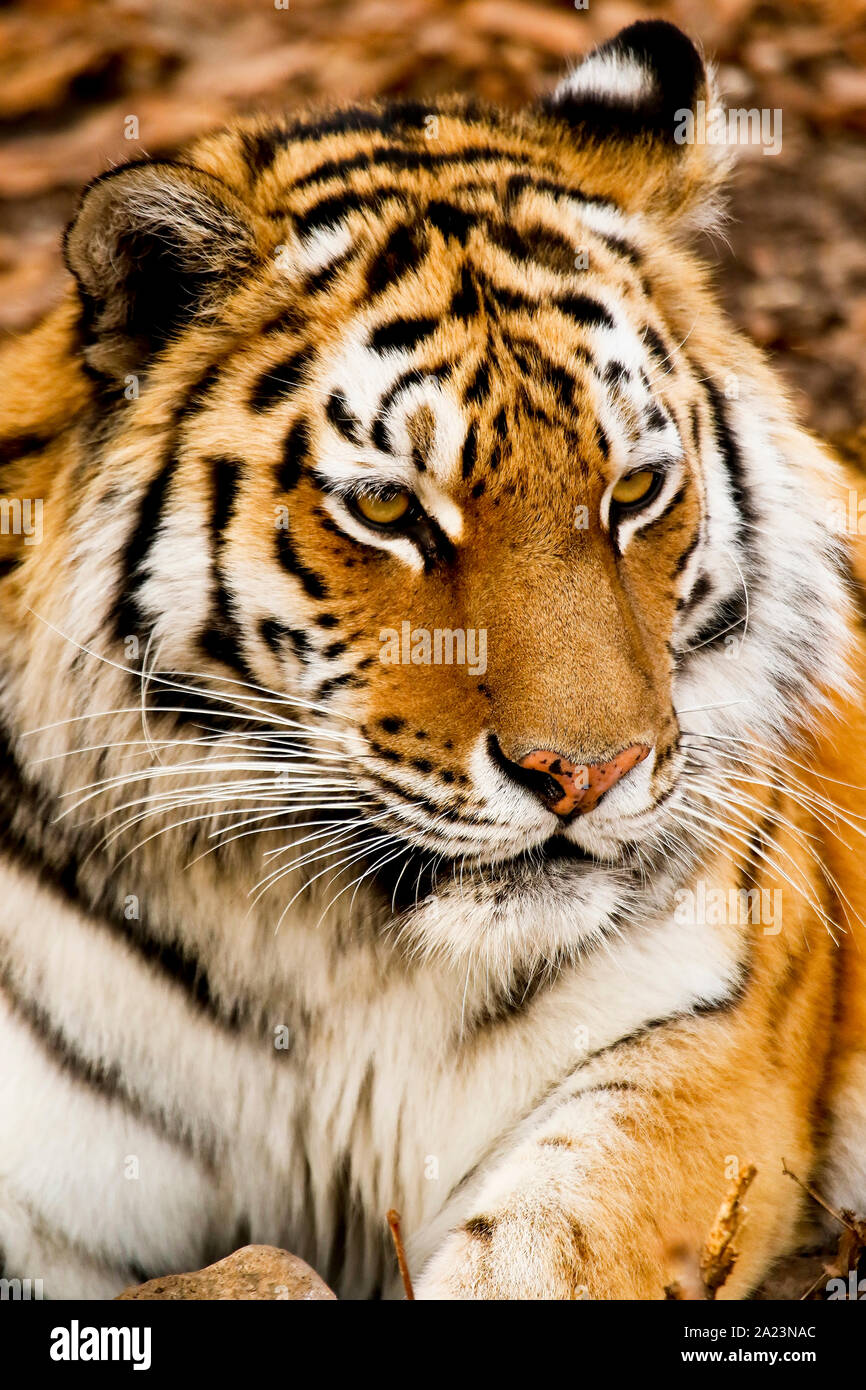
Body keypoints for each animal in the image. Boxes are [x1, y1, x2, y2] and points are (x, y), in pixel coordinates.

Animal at [1, 17, 865, 1301]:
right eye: (387, 508)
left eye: (633, 490)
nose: (585, 775)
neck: (337, 942)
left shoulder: (687, 1053)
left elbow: (543, 1252)